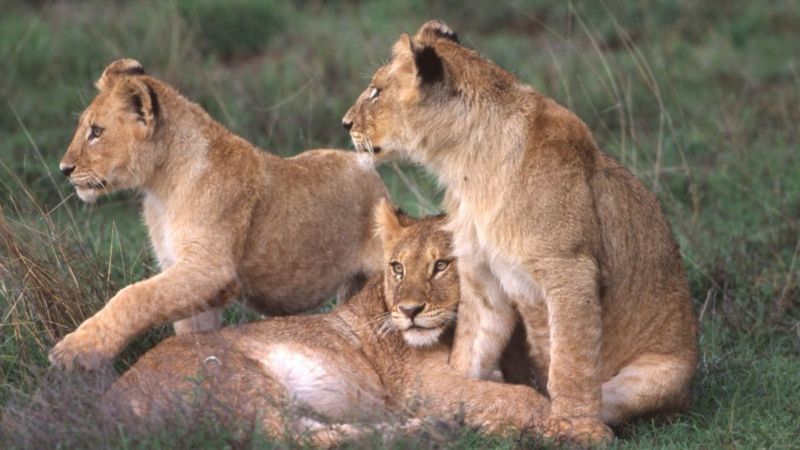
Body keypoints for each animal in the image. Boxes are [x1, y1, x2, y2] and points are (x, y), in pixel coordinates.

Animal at [50, 58, 388, 371]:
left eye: (96, 132)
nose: (64, 169)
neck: (161, 188)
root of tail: (367, 167)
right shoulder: (185, 273)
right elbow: (189, 332)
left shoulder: (210, 267)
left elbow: (134, 296)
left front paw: (75, 350)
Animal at [105, 202, 551, 446]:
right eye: (398, 268)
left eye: (441, 265)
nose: (408, 311)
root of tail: (110, 404)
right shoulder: (424, 388)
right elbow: (518, 397)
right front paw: (550, 418)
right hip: (235, 376)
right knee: (286, 437)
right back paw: (437, 429)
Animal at [342, 20, 699, 445]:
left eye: (376, 91)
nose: (345, 123)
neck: (466, 164)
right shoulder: (481, 279)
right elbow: (468, 355)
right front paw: (460, 408)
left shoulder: (570, 270)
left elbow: (571, 365)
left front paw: (577, 430)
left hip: (659, 375)